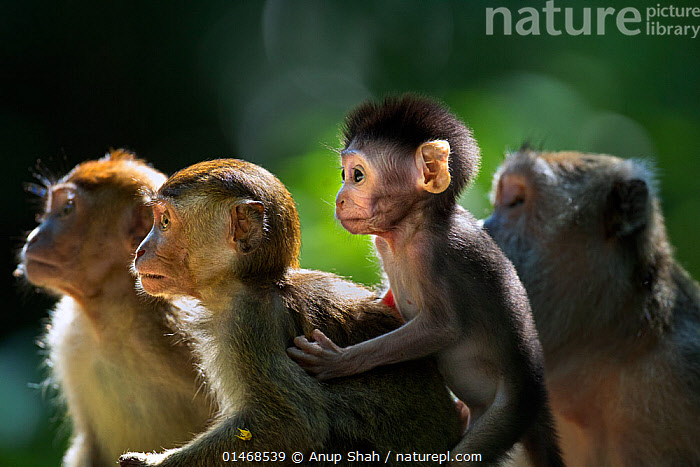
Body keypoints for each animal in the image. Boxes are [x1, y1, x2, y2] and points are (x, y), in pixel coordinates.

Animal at [287, 95, 563, 466]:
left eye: (357, 176)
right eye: (343, 174)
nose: (339, 199)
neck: (410, 227)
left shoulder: (434, 256)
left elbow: (442, 328)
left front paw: (340, 362)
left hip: (509, 412)